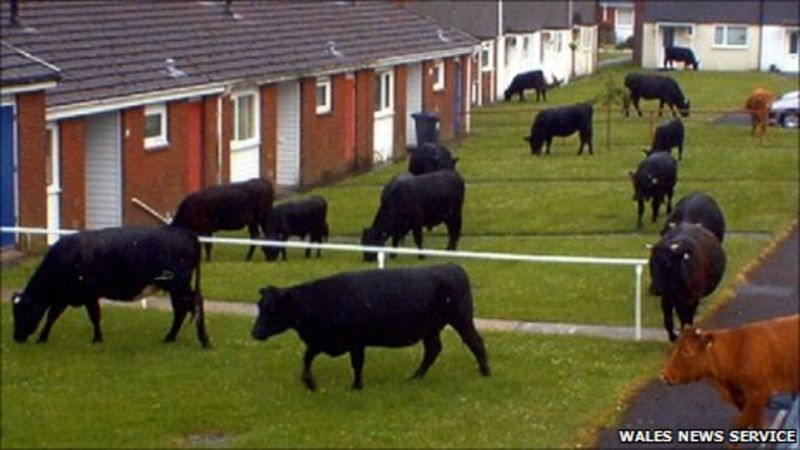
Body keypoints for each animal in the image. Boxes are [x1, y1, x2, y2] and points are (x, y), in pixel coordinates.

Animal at [11, 226, 210, 347]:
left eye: (22, 312)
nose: (17, 337)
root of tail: (183, 232)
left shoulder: (88, 294)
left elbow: (94, 316)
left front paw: (97, 339)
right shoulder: (65, 296)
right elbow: (52, 316)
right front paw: (42, 338)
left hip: (179, 285)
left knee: (192, 304)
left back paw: (203, 341)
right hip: (175, 287)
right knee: (182, 309)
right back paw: (171, 338)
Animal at [251, 263, 491, 391]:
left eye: (272, 308)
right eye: (260, 305)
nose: (255, 333)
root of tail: (451, 266)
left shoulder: (356, 341)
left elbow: (357, 364)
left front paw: (356, 387)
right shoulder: (323, 341)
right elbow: (307, 358)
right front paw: (309, 383)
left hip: (461, 319)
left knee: (475, 342)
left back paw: (485, 372)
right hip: (430, 328)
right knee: (433, 349)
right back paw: (415, 377)